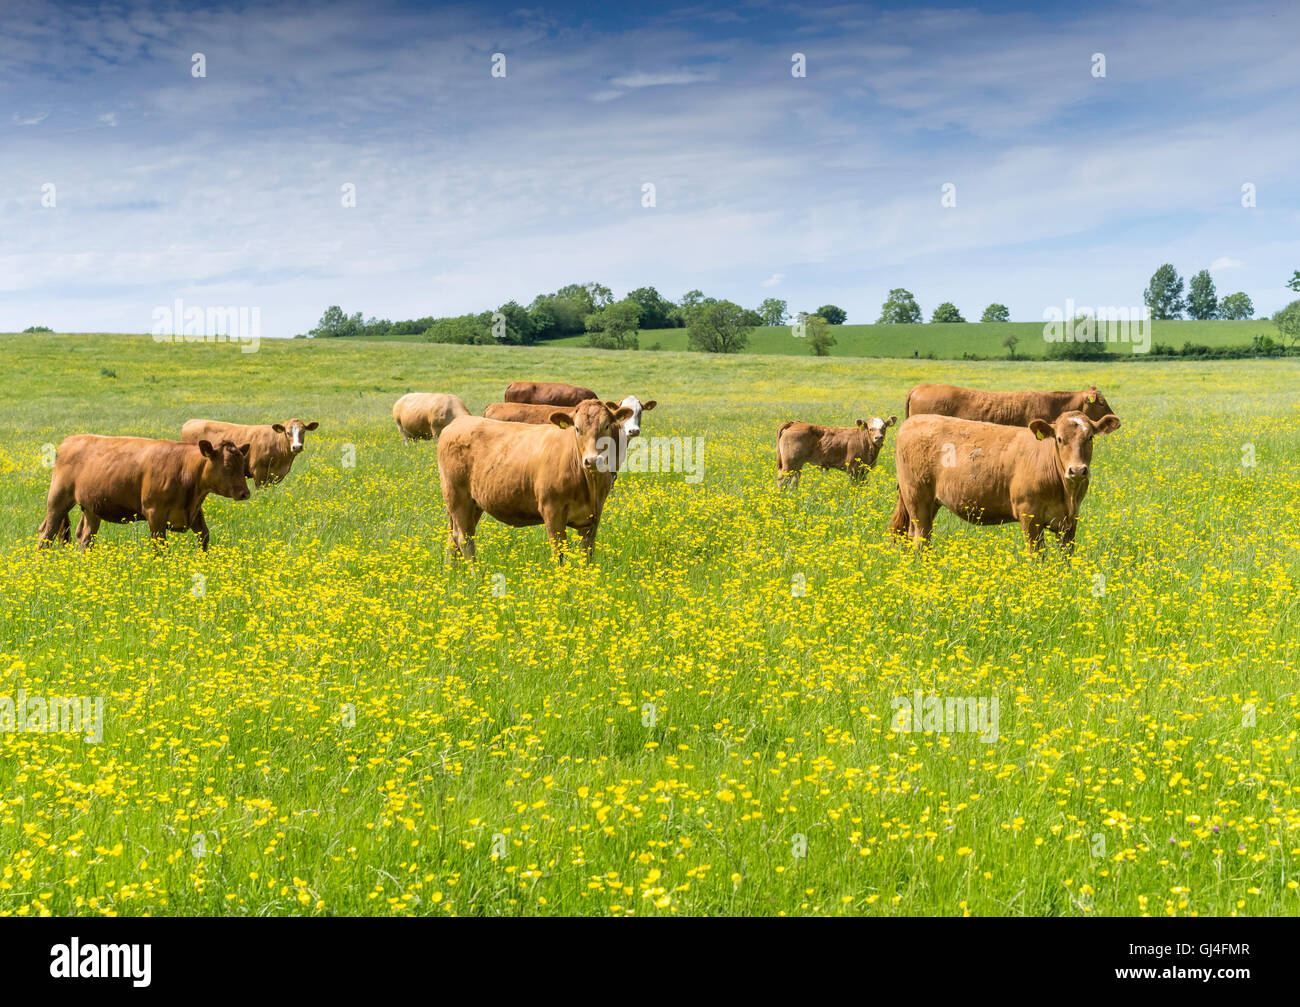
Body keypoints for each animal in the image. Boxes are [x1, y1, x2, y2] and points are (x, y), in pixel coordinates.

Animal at [38, 435, 251, 550]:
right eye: (227, 465)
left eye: (243, 464)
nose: (245, 493)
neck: (185, 468)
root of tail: (69, 440)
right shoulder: (154, 513)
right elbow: (160, 546)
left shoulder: (195, 512)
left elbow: (204, 537)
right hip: (58, 499)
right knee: (46, 532)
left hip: (91, 507)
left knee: (85, 537)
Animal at [180, 418, 318, 487]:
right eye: (287, 432)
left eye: (303, 431)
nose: (297, 447)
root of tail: (192, 421)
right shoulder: (258, 471)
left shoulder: (277, 475)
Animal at [437, 399, 635, 563]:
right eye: (577, 429)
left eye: (607, 426)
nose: (592, 460)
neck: (589, 485)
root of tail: (459, 422)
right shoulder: (552, 511)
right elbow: (559, 553)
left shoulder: (593, 517)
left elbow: (587, 555)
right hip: (457, 498)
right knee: (465, 538)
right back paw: (475, 574)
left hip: (474, 503)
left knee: (453, 537)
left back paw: (452, 573)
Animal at [889, 410, 1121, 553]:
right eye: (1059, 439)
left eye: (1090, 437)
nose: (1078, 470)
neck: (1067, 493)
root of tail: (913, 420)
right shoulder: (1030, 517)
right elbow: (1037, 556)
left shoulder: (1070, 521)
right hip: (916, 498)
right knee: (921, 539)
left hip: (929, 503)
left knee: (912, 535)